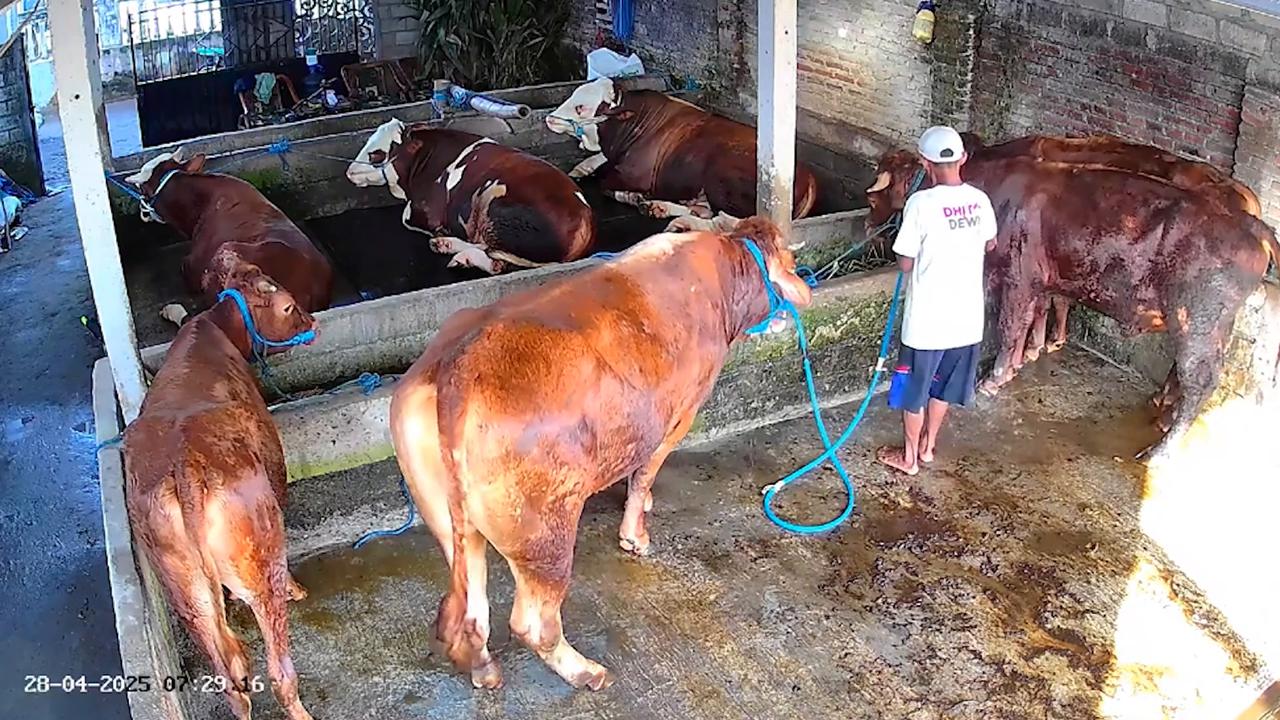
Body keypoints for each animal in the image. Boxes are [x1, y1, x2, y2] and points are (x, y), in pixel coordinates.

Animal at [122, 249, 318, 720]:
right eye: (288, 306)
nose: (313, 321)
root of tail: (184, 469)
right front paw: (297, 589)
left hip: (183, 583)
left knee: (230, 676)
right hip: (259, 560)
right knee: (278, 670)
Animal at [346, 119, 597, 274]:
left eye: (376, 154)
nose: (349, 172)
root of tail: (584, 223)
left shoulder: (428, 210)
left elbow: (406, 218)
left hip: (498, 209)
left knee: (492, 255)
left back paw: (448, 247)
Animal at [387, 216, 812, 690]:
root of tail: (457, 368)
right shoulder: (680, 414)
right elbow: (645, 472)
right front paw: (636, 535)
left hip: (446, 516)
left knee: (473, 607)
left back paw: (486, 672)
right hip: (545, 532)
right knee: (532, 621)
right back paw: (585, 672)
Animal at [544, 77, 819, 233]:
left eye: (581, 108)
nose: (548, 118)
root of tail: (807, 176)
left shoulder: (637, 174)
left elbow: (606, 184)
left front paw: (633, 196)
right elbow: (599, 161)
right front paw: (583, 167)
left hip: (721, 177)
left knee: (726, 221)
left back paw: (679, 221)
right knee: (708, 211)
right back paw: (663, 208)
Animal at [864, 148, 1279, 461]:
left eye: (872, 195)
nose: (870, 227)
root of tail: (1253, 225)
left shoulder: (1017, 275)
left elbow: (1010, 324)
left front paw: (993, 379)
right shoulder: (1039, 280)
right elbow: (1033, 315)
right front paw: (1020, 363)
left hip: (1199, 320)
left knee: (1200, 378)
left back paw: (1159, 450)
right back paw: (1162, 414)